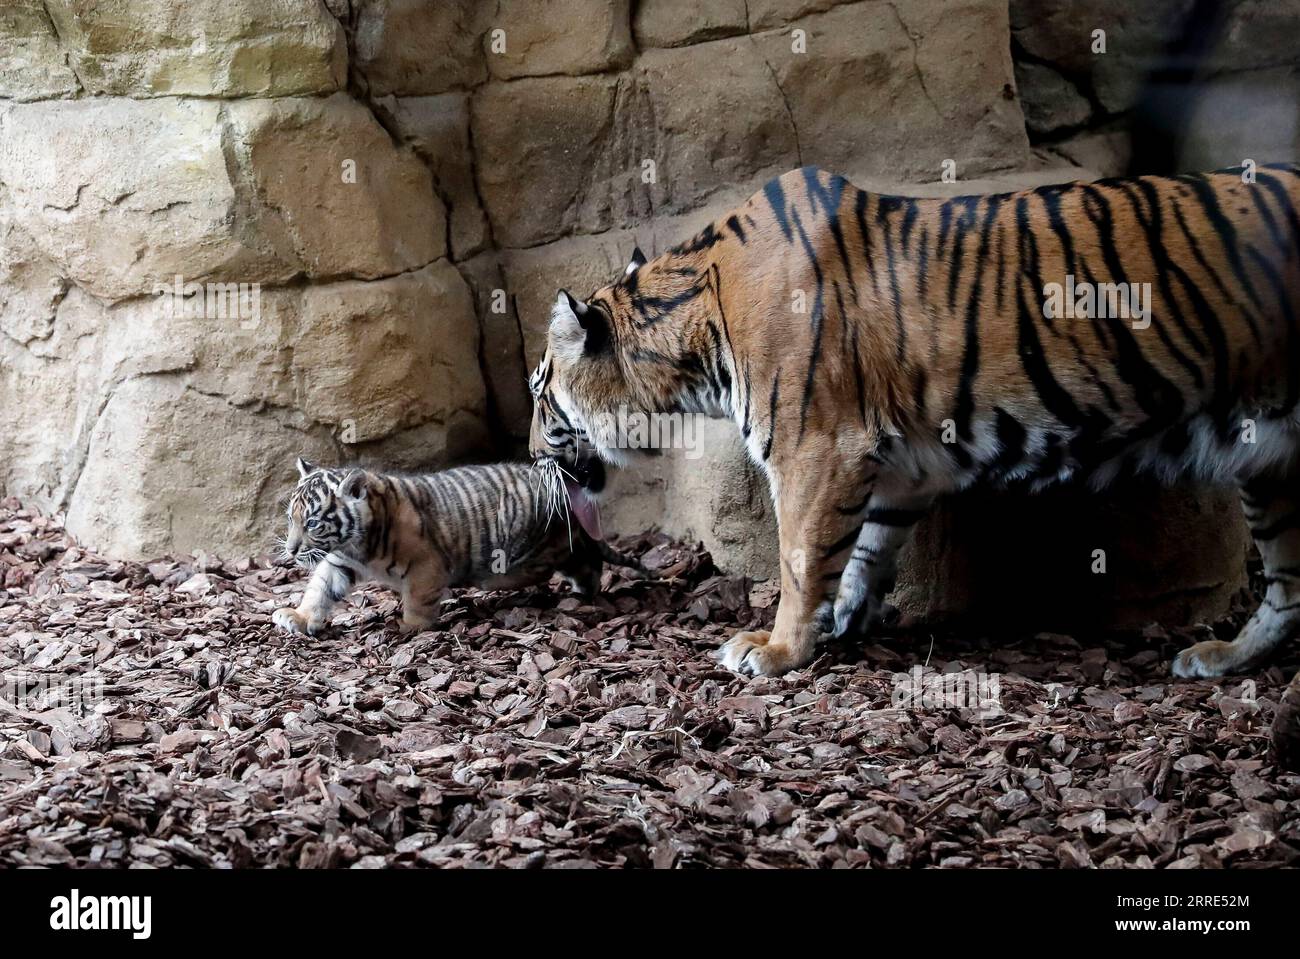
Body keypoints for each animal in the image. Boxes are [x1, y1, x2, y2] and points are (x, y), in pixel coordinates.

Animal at [271, 457, 641, 636]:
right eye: (290, 518)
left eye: (312, 524)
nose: (290, 551)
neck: (356, 543)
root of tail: (567, 501)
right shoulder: (339, 562)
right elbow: (320, 589)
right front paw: (299, 617)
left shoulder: (425, 564)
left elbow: (418, 599)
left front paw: (411, 627)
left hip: (538, 546)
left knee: (574, 562)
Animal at [528, 162, 1300, 681]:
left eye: (540, 394)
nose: (532, 451)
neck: (693, 336)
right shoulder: (903, 464)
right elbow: (867, 547)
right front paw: (842, 620)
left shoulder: (817, 448)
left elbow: (800, 553)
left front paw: (775, 649)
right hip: (1270, 459)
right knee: (1289, 587)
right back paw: (1223, 656)